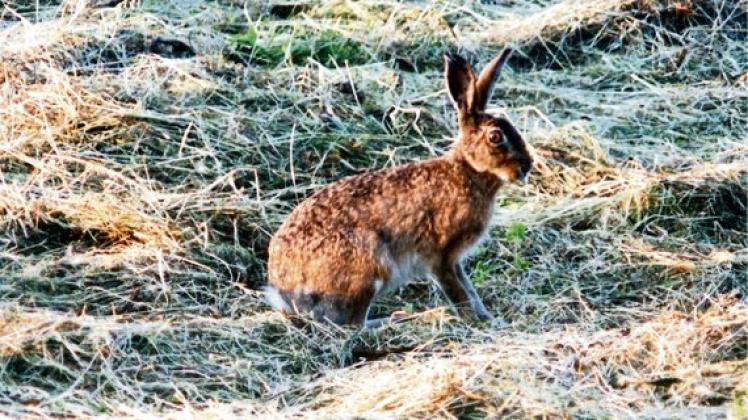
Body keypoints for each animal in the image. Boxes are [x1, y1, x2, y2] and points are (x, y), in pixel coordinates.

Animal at [266, 48, 533, 327]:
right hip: (368, 266)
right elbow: (458, 292)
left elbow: (469, 288)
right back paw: (404, 318)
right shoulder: (442, 255)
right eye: (495, 137)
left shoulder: (455, 260)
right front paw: (473, 320)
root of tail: (284, 292)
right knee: (353, 325)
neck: (468, 172)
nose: (528, 166)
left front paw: (488, 318)